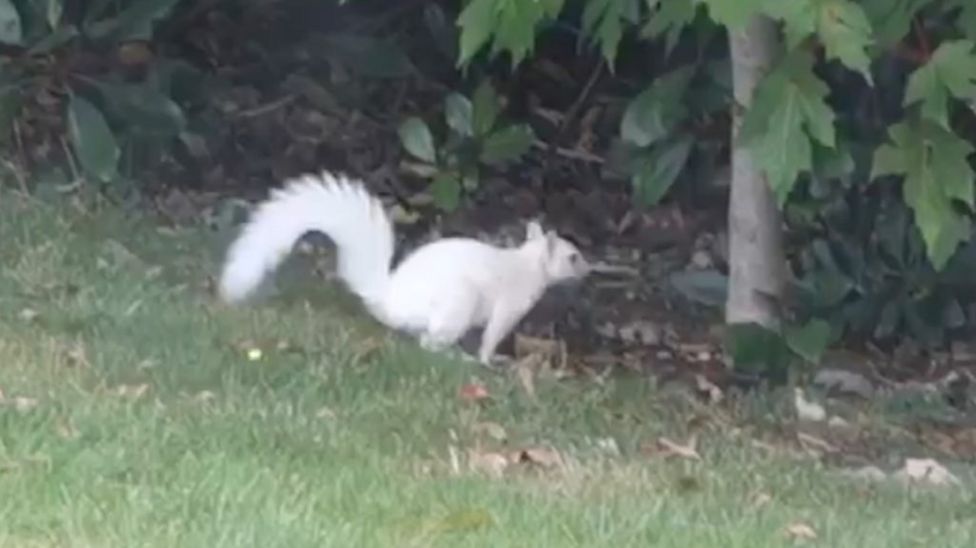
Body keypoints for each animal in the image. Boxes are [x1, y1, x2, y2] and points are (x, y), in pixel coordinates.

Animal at [217, 171, 591, 366]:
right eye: (572, 257)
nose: (588, 269)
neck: (527, 263)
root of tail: (388, 301)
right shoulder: (510, 306)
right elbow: (493, 335)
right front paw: (490, 361)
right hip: (457, 305)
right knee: (428, 343)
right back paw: (457, 358)